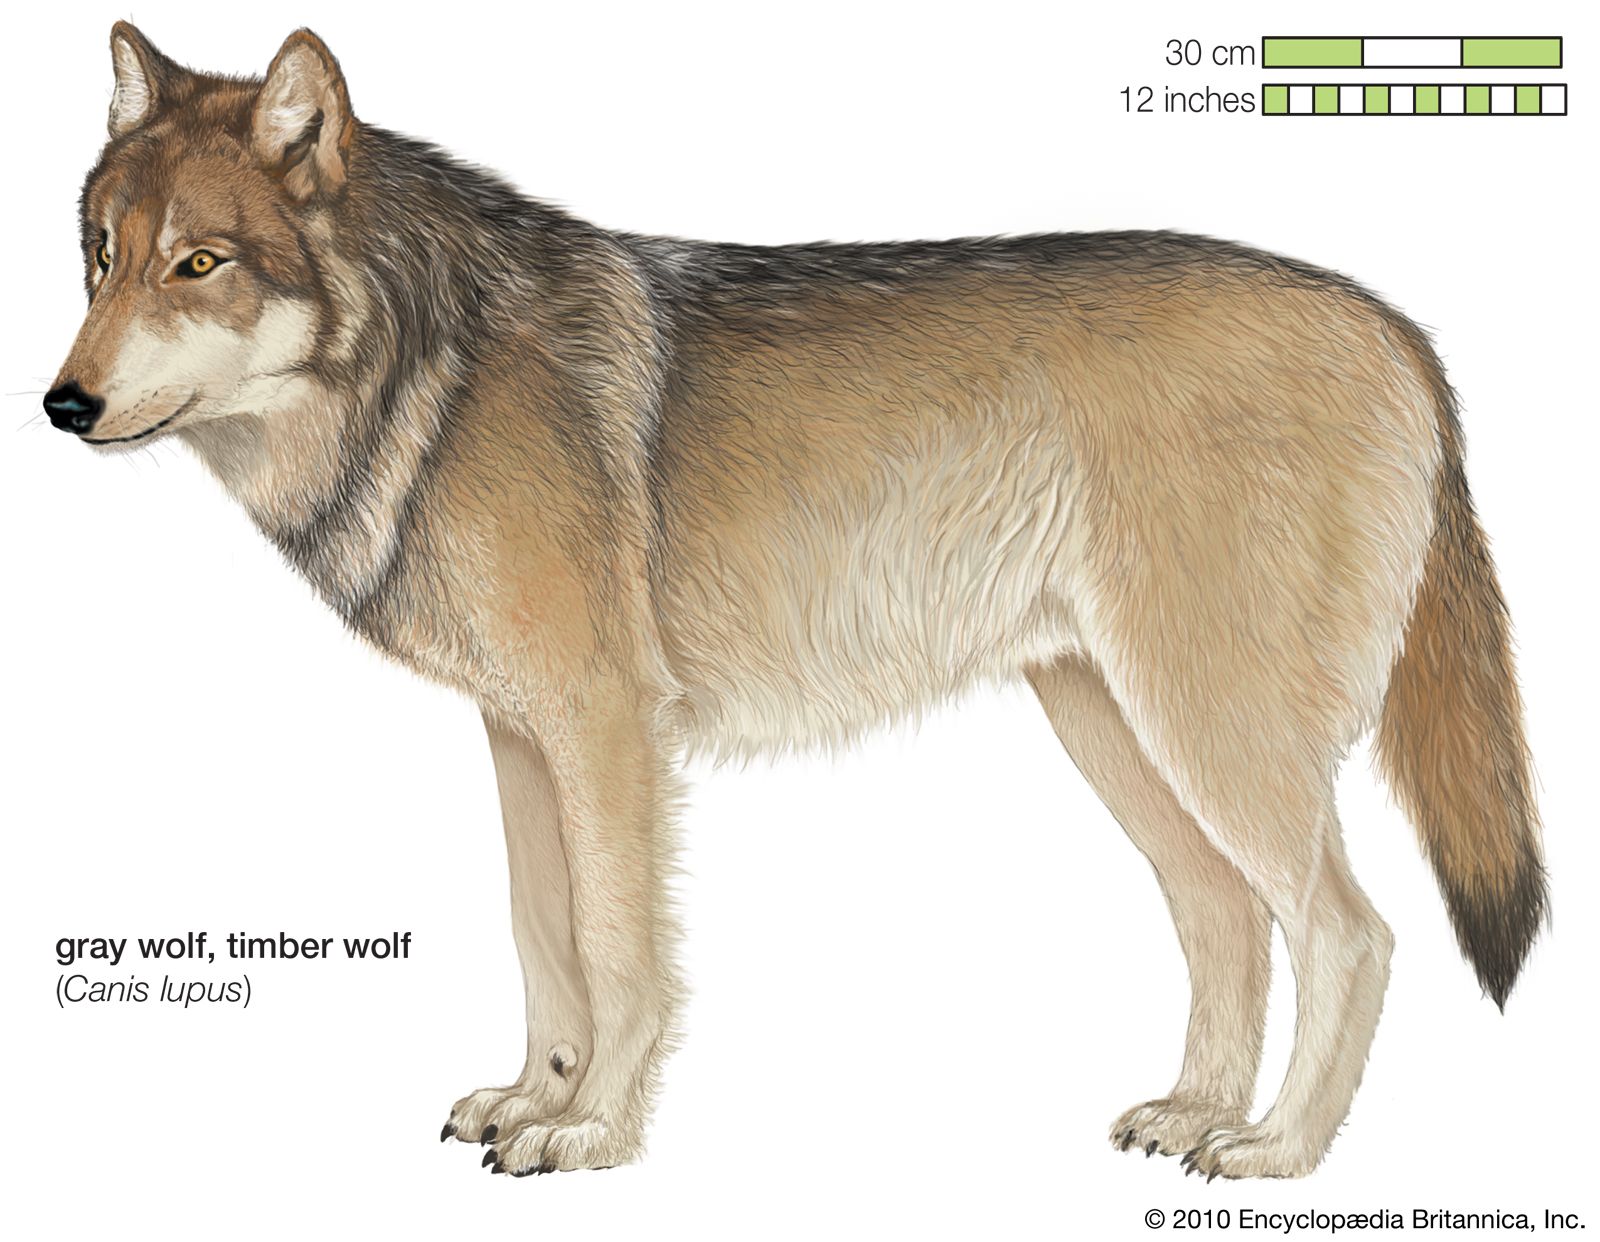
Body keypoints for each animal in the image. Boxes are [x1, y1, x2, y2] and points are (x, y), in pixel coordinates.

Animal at [45, 24, 1544, 1180]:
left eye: (198, 264)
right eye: (99, 256)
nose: (62, 403)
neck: (434, 369)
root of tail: (1400, 329)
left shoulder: (605, 729)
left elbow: (616, 950)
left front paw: (589, 1135)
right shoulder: (522, 736)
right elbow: (543, 946)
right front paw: (534, 1096)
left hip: (1209, 735)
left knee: (1351, 932)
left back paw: (1277, 1152)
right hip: (1118, 731)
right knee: (1229, 921)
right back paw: (1193, 1115)